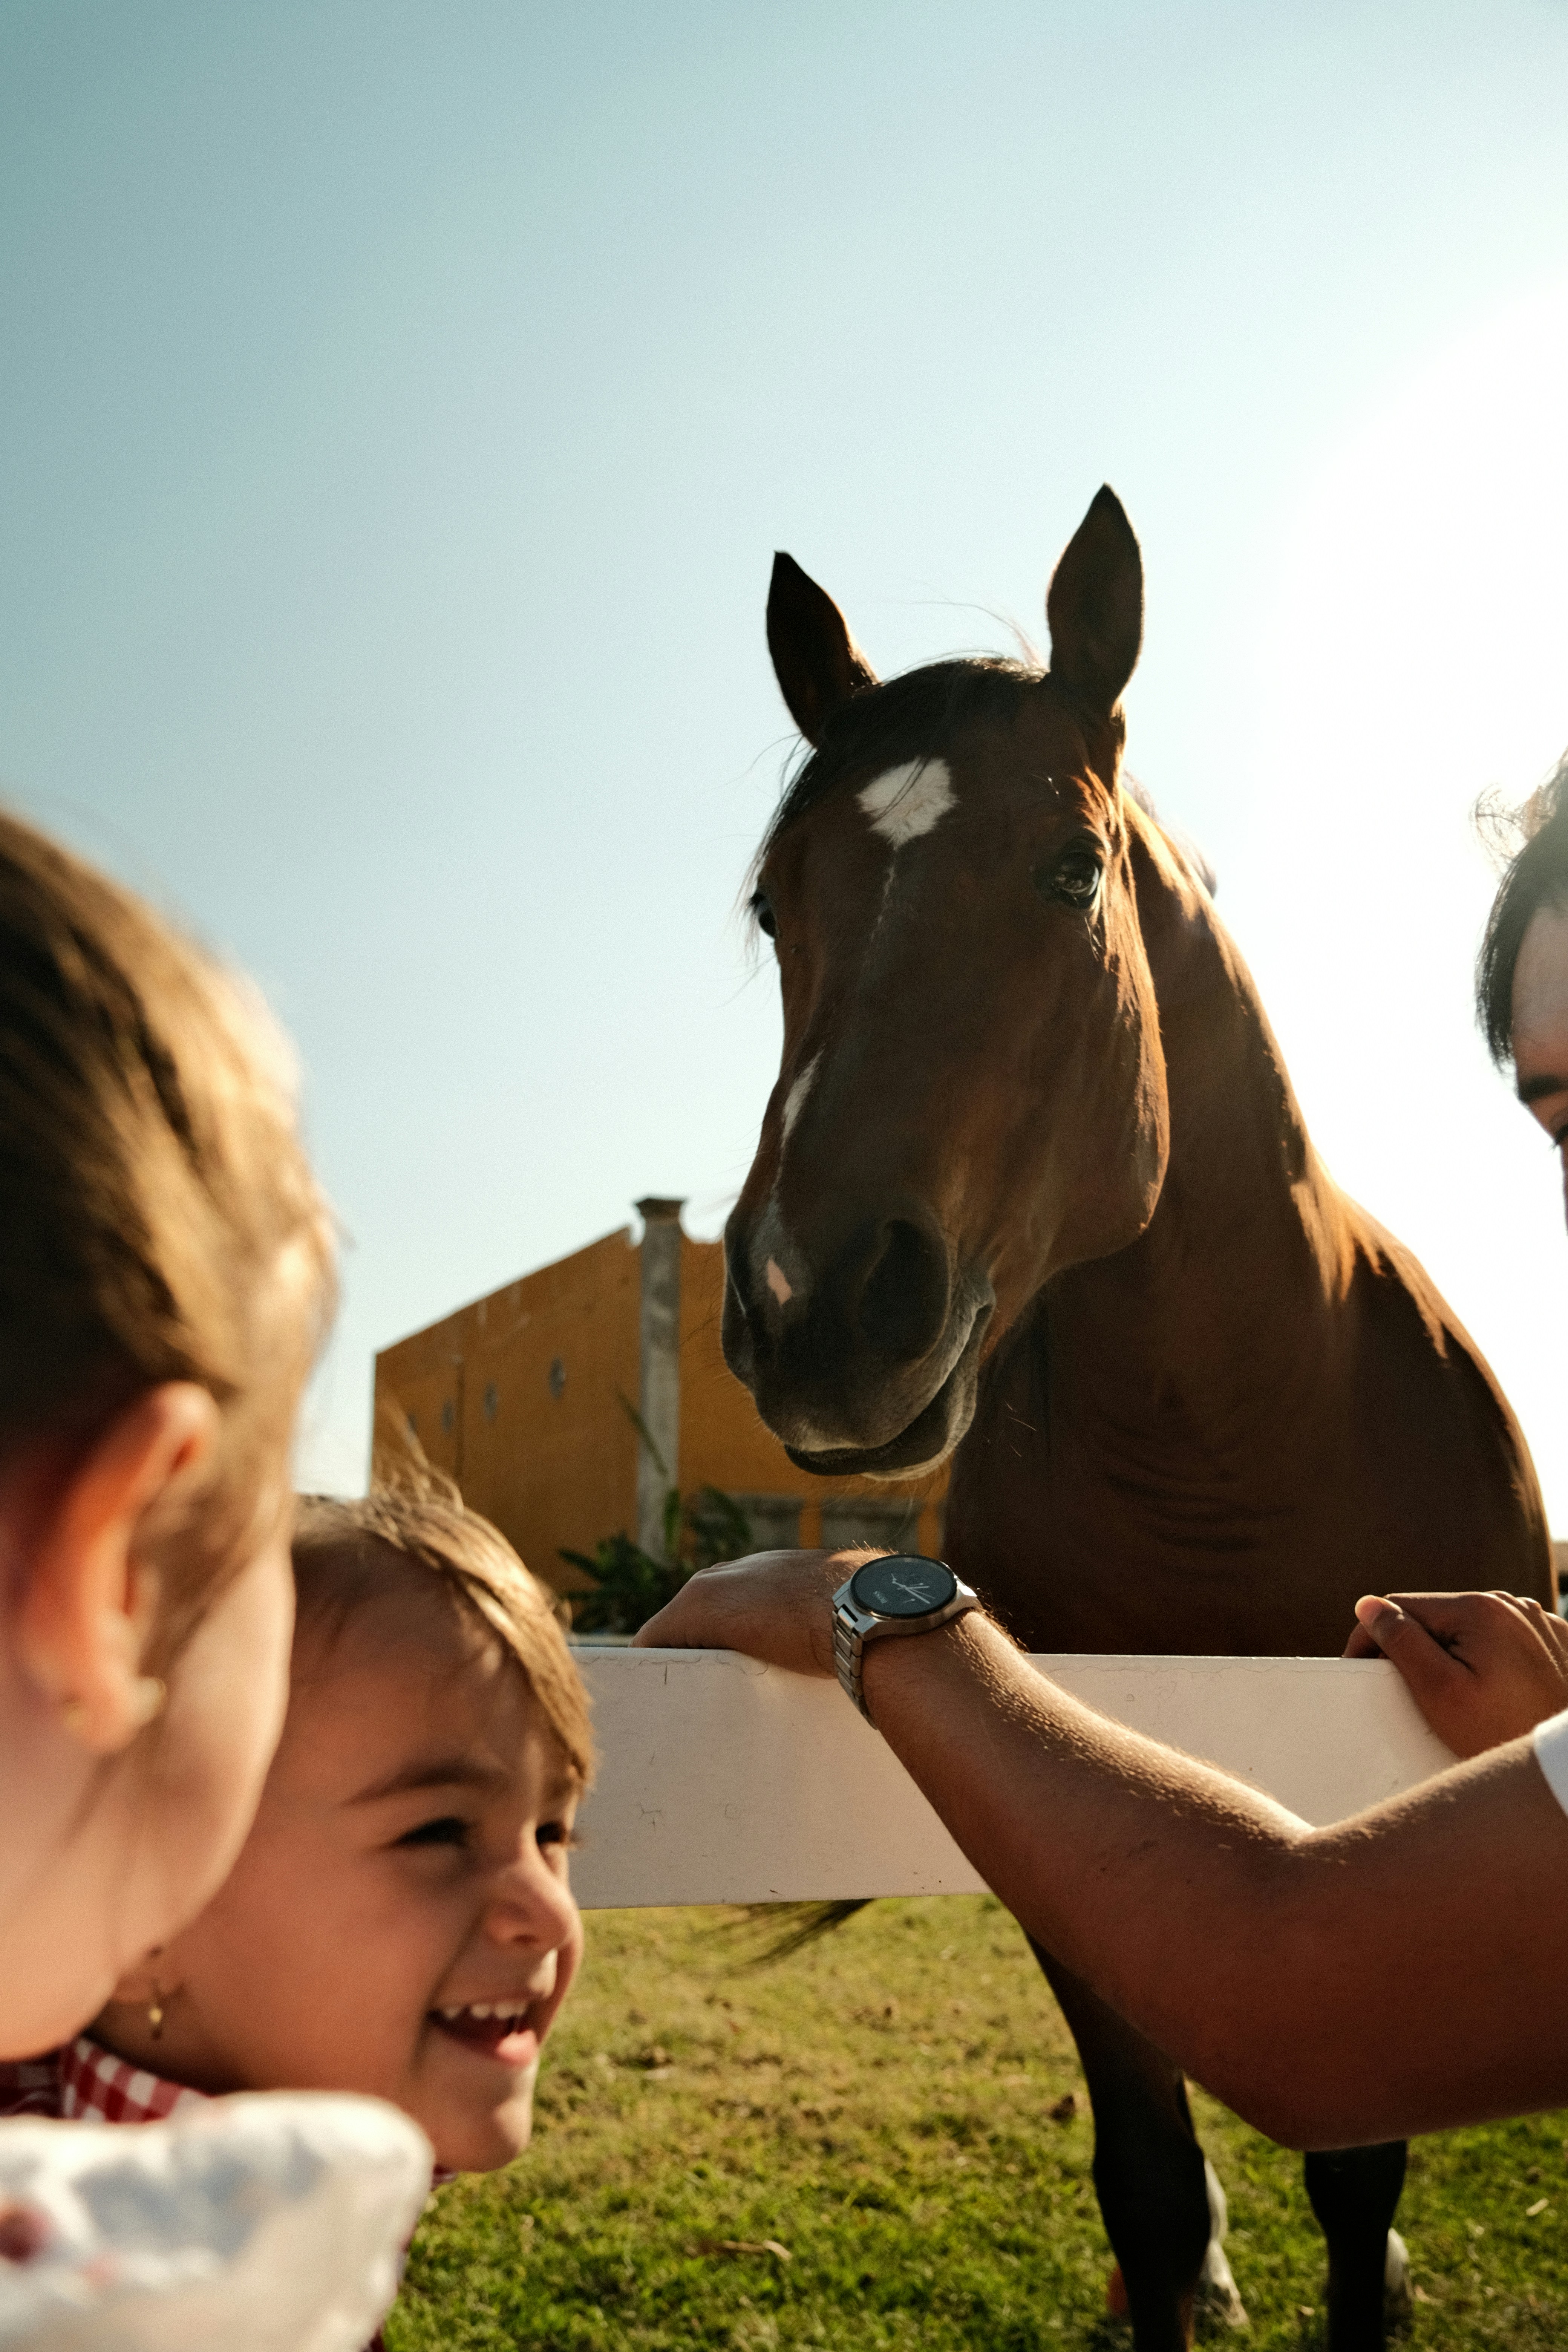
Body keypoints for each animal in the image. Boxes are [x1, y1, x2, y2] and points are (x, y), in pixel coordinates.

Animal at [719, 486, 1554, 2352]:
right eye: (771, 905)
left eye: (1067, 868)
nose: (813, 1305)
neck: (1233, 1437)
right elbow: (1153, 2188)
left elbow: (1354, 2177)